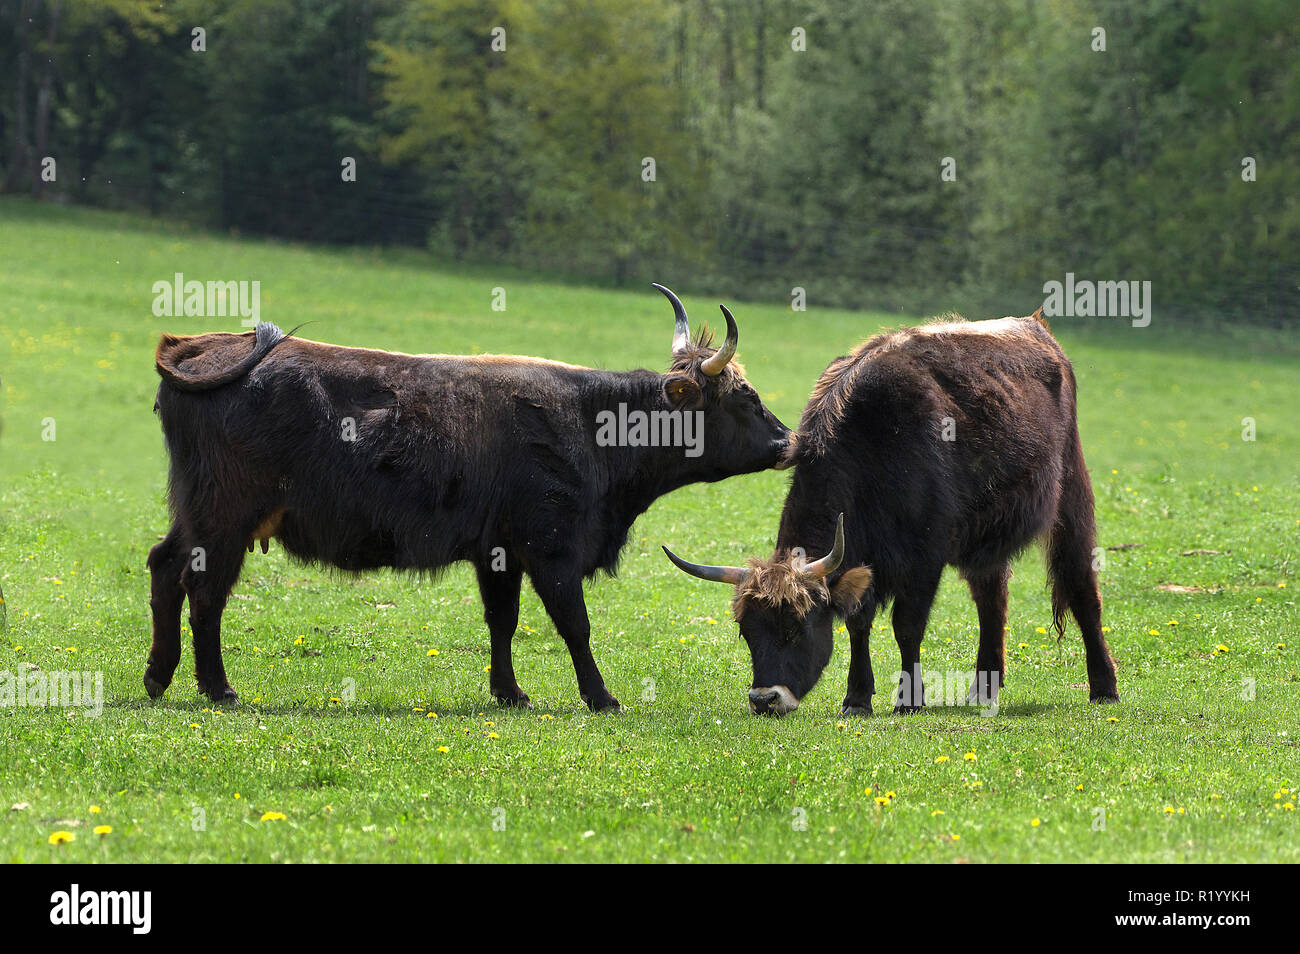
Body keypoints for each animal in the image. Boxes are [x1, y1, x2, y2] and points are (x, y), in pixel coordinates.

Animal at [146, 285, 791, 710]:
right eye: (744, 398)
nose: (788, 440)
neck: (591, 423)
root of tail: (204, 346)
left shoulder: (497, 554)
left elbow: (502, 622)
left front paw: (510, 693)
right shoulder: (552, 549)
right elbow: (574, 625)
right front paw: (601, 697)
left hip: (198, 515)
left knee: (164, 568)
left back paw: (159, 676)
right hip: (224, 519)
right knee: (204, 592)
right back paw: (218, 688)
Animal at [662, 309, 1120, 715]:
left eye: (796, 626)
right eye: (747, 631)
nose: (764, 700)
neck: (873, 445)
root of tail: (1036, 329)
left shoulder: (925, 558)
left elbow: (906, 625)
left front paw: (909, 700)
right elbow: (858, 623)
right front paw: (857, 698)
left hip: (1072, 496)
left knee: (1081, 587)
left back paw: (1104, 687)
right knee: (992, 597)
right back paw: (982, 690)